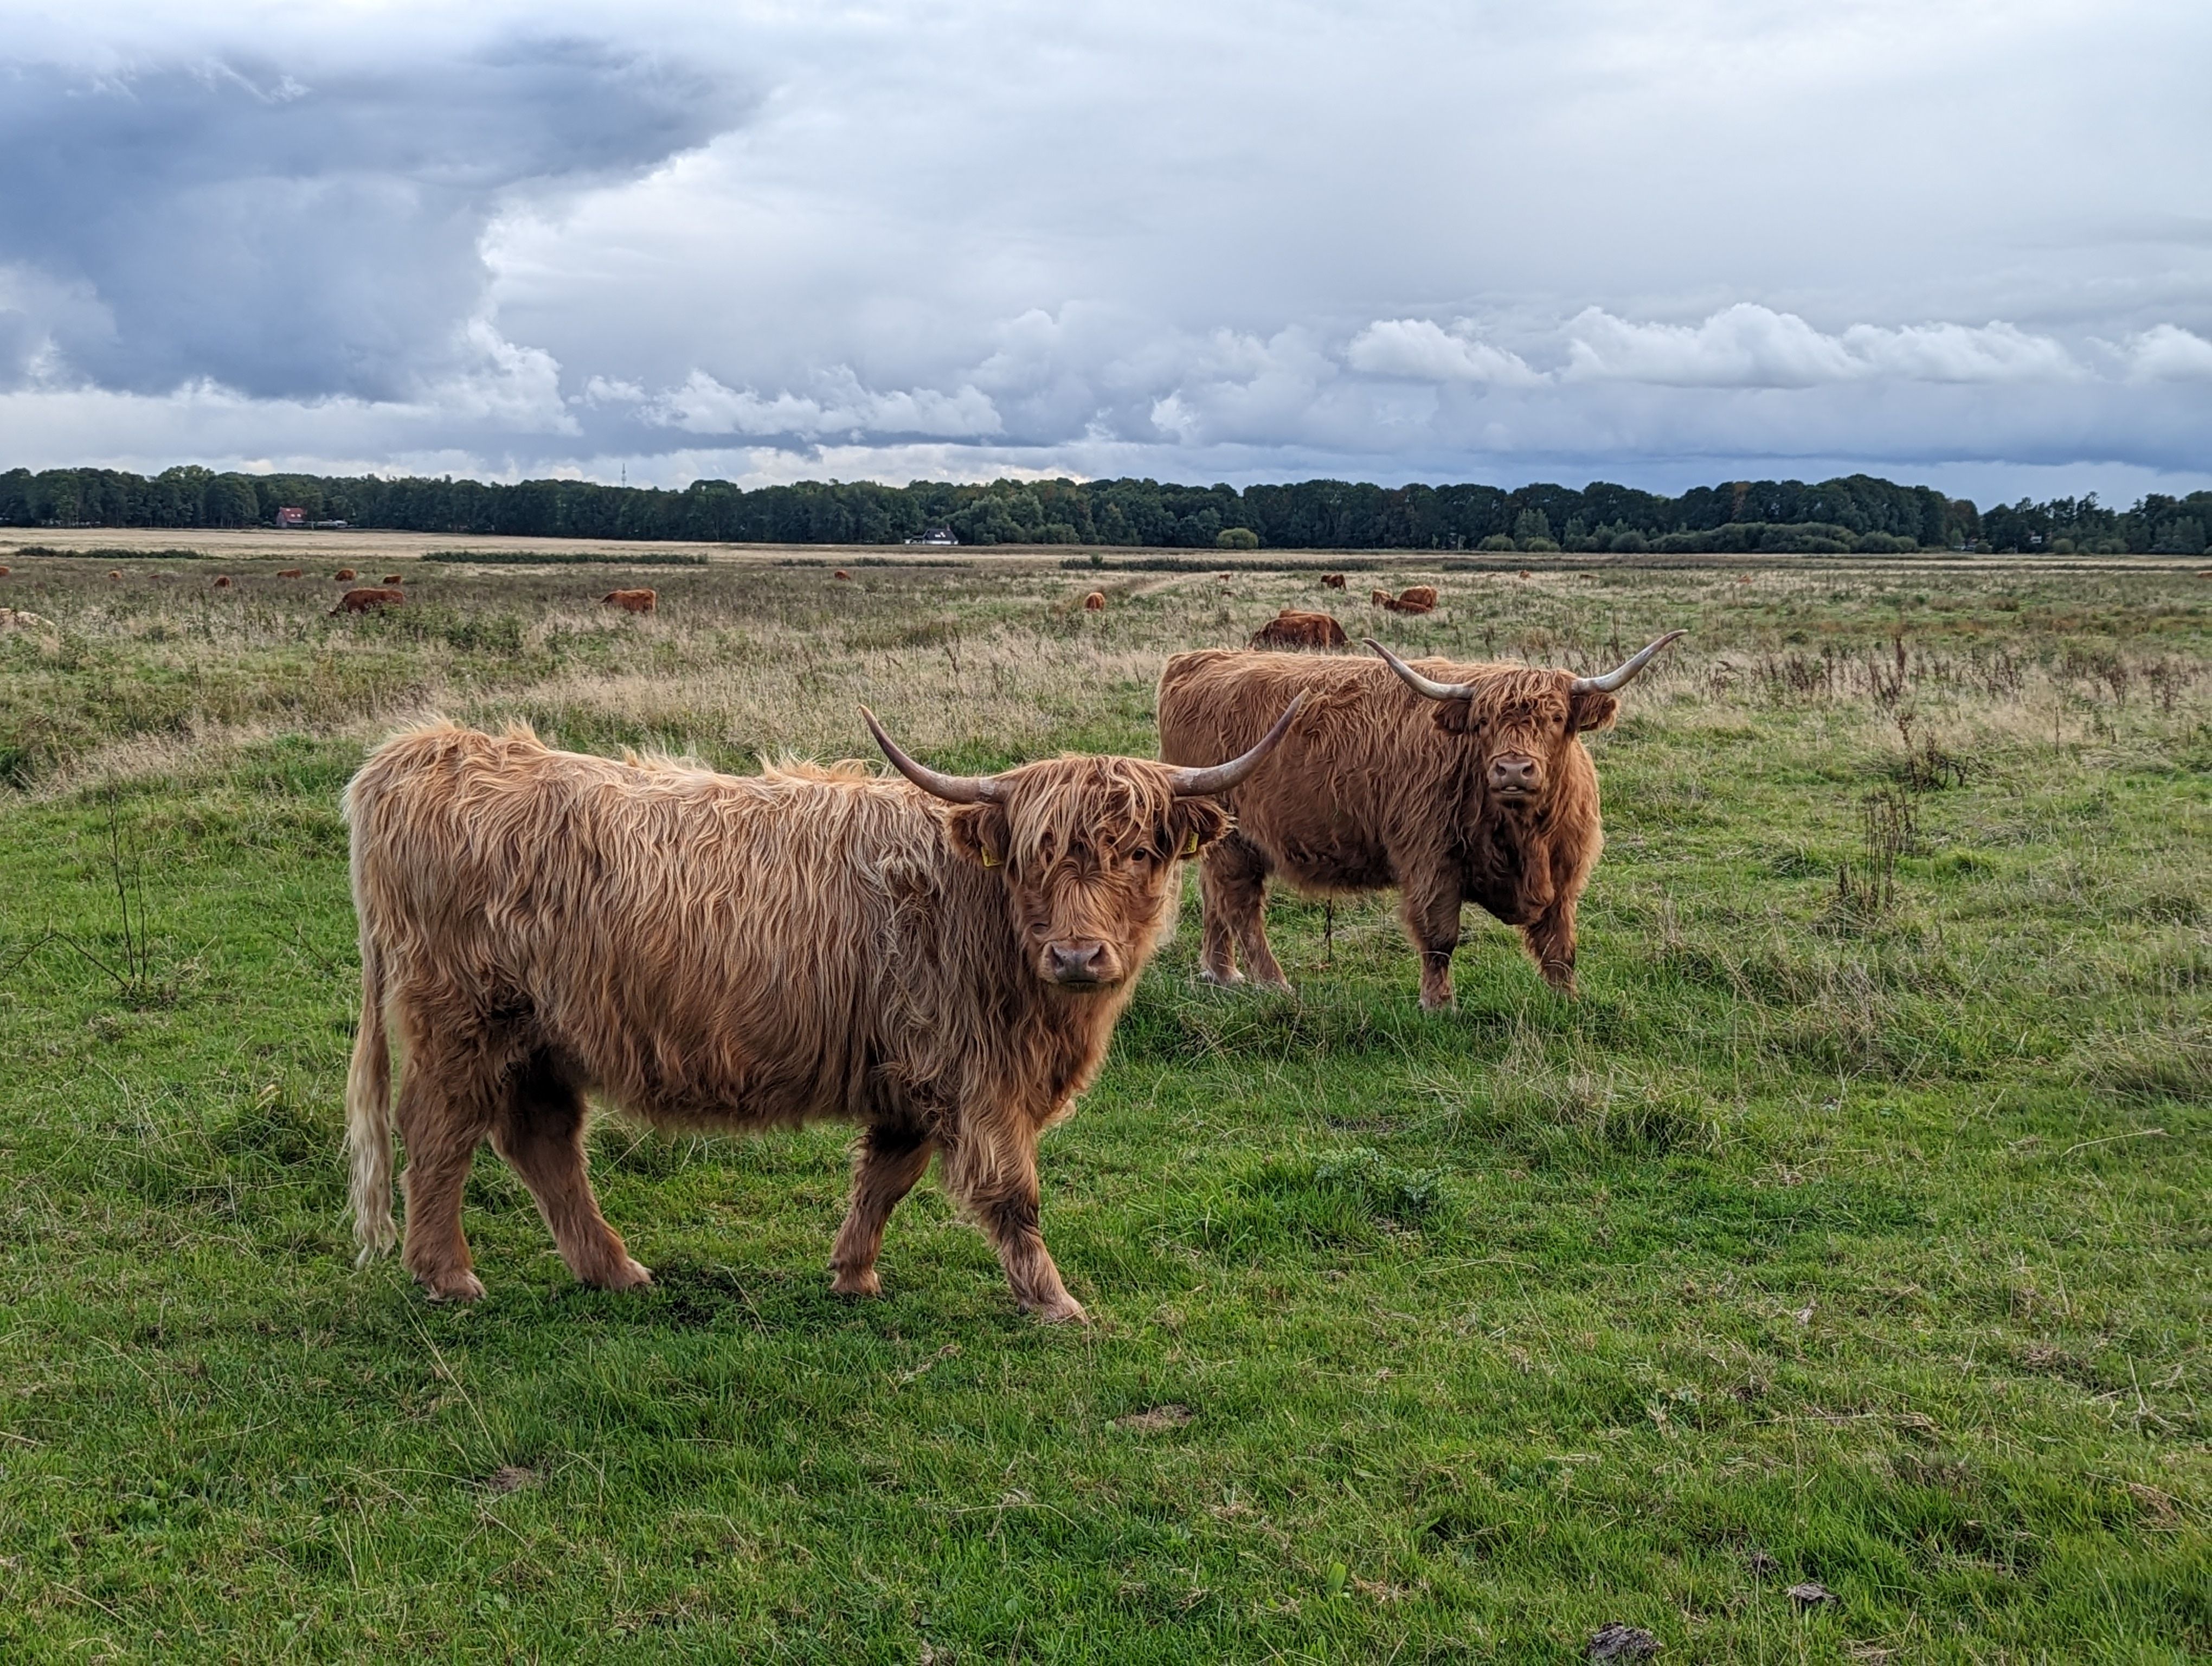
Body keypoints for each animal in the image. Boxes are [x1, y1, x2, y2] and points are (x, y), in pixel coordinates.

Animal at [342, 700, 1305, 1319]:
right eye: (1034, 857)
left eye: (1140, 851)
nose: (1077, 955)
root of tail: (433, 750)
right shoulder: (972, 1071)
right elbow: (1012, 1195)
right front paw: (1054, 1301)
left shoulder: (912, 1069)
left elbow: (886, 1176)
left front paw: (851, 1276)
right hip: (464, 1017)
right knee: (439, 1133)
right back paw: (449, 1277)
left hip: (540, 1033)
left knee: (540, 1142)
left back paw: (614, 1271)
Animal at [1157, 633, 1681, 1007]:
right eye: (1483, 722)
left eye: (1555, 718)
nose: (1513, 769)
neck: (1523, 834)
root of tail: (1202, 659)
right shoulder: (1432, 859)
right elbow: (1440, 937)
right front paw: (1438, 1003)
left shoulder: (1565, 873)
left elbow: (1560, 945)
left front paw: (1566, 1001)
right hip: (1235, 837)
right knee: (1241, 907)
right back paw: (1272, 984)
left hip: (1224, 839)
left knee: (1216, 899)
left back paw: (1220, 974)